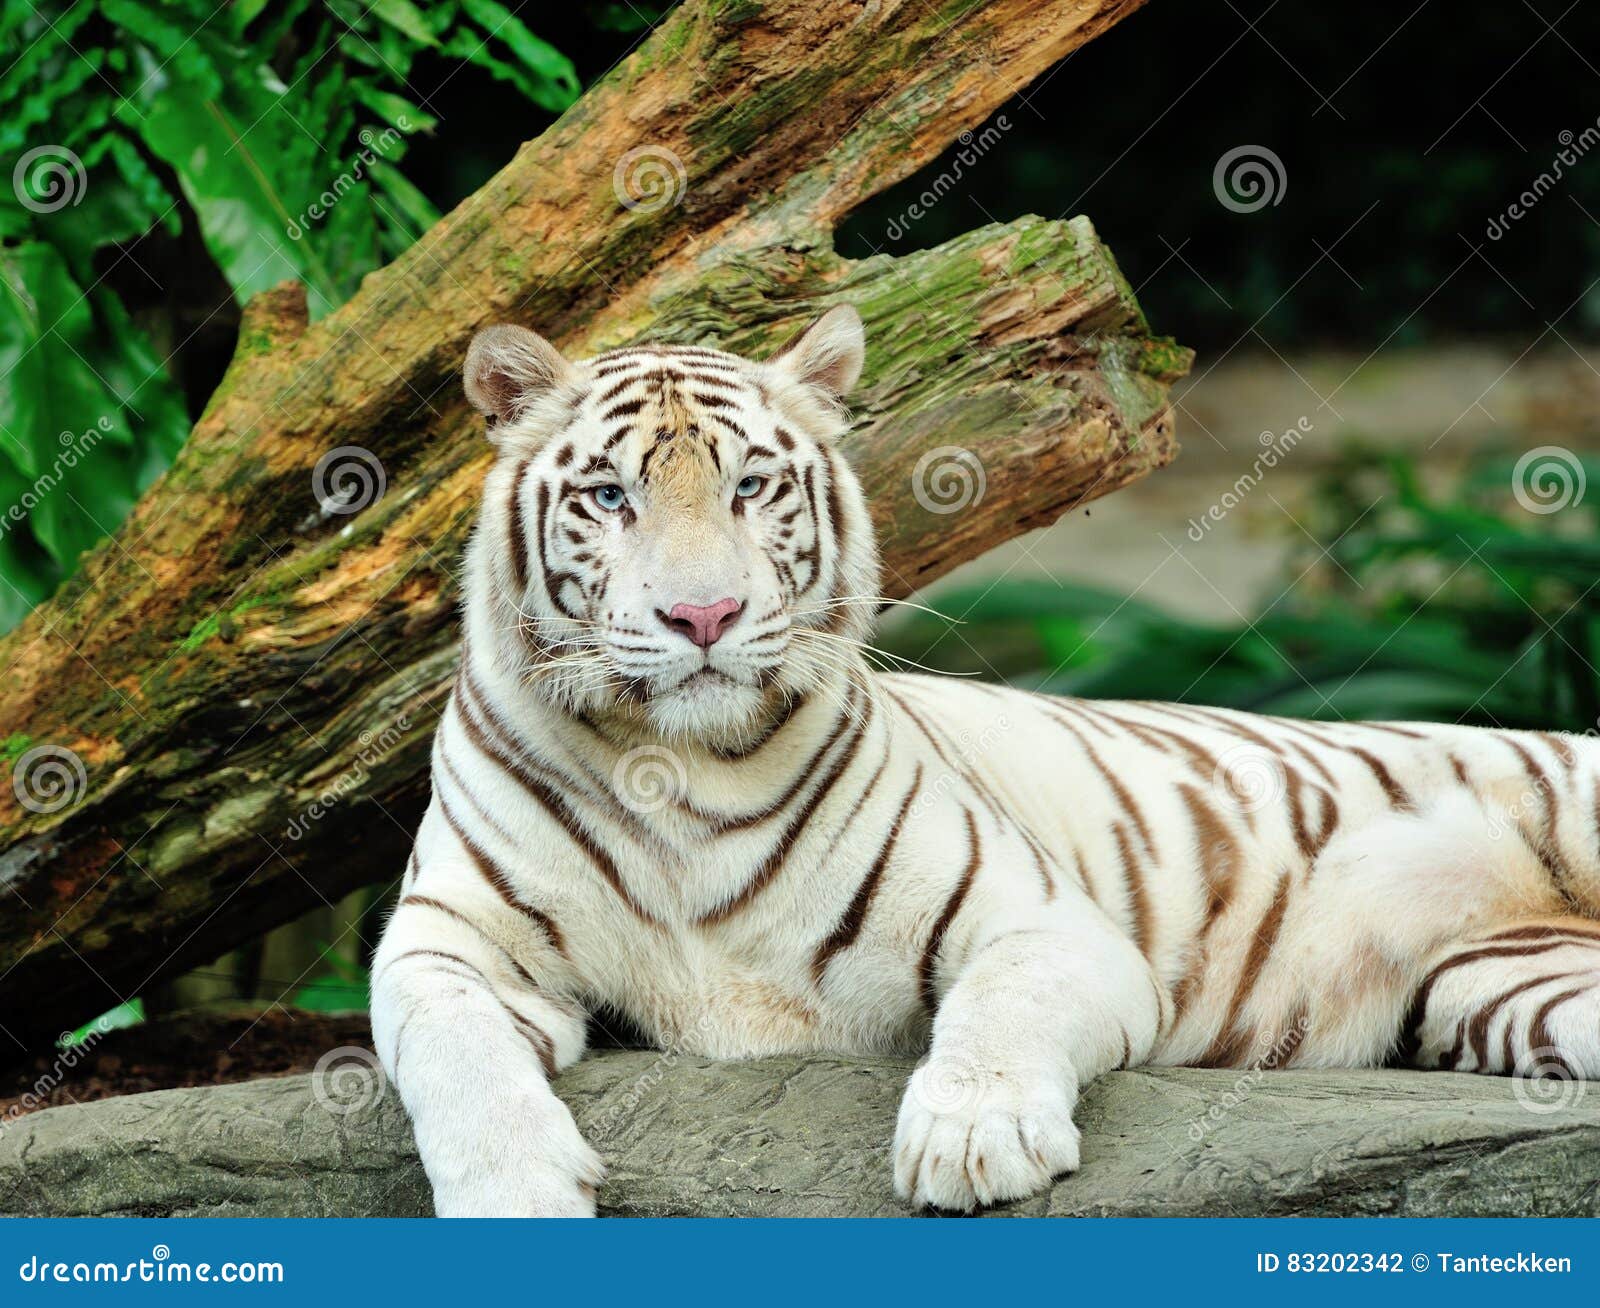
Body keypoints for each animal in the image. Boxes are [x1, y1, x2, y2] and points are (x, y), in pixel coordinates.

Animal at [371, 304, 1600, 1216]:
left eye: (750, 488)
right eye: (610, 497)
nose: (704, 615)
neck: (681, 772)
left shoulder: (1043, 921)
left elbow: (1001, 1007)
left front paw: (972, 1136)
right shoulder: (447, 937)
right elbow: (449, 1047)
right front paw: (514, 1194)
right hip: (1507, 988)